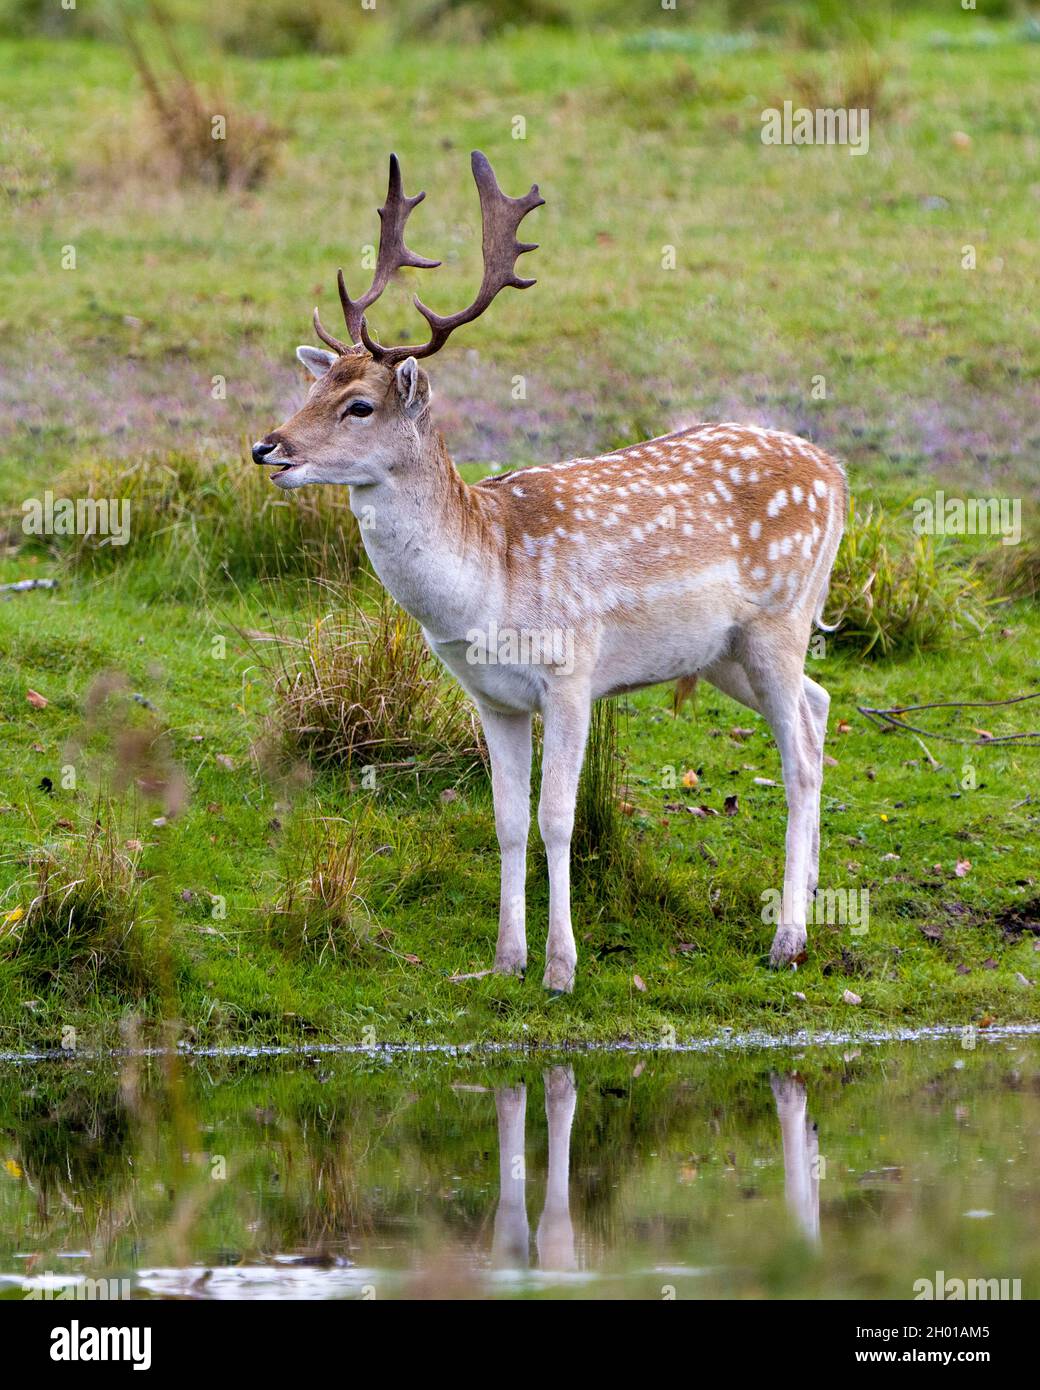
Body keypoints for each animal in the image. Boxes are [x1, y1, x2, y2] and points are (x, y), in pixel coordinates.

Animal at [252, 151, 847, 994]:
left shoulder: (571, 671)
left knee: (797, 757)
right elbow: (506, 821)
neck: (487, 584)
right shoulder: (491, 697)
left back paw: (788, 937)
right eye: (312, 385)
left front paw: (562, 969)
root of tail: (837, 473)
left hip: (779, 619)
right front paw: (504, 961)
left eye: (359, 405)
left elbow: (556, 816)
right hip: (723, 650)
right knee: (819, 710)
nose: (267, 448)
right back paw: (815, 894)